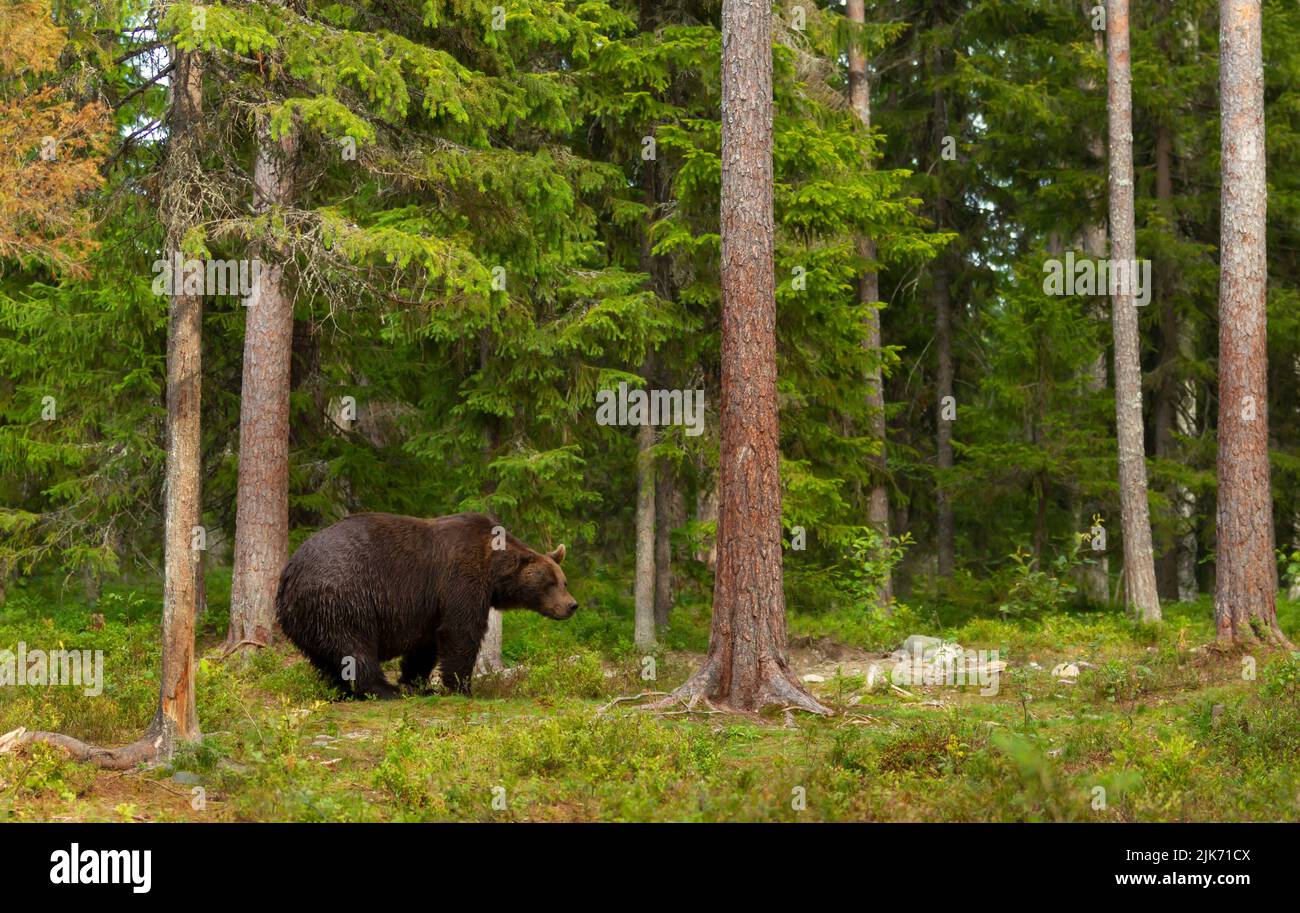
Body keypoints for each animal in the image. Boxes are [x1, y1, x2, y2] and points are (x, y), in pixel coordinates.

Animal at [275, 512, 577, 699]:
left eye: (563, 581)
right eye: (550, 583)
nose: (572, 605)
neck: (492, 571)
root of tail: (290, 571)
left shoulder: (431, 605)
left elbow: (426, 645)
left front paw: (417, 683)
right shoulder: (460, 580)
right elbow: (461, 632)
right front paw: (462, 687)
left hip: (309, 616)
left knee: (326, 657)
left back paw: (342, 690)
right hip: (343, 597)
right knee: (354, 648)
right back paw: (384, 690)